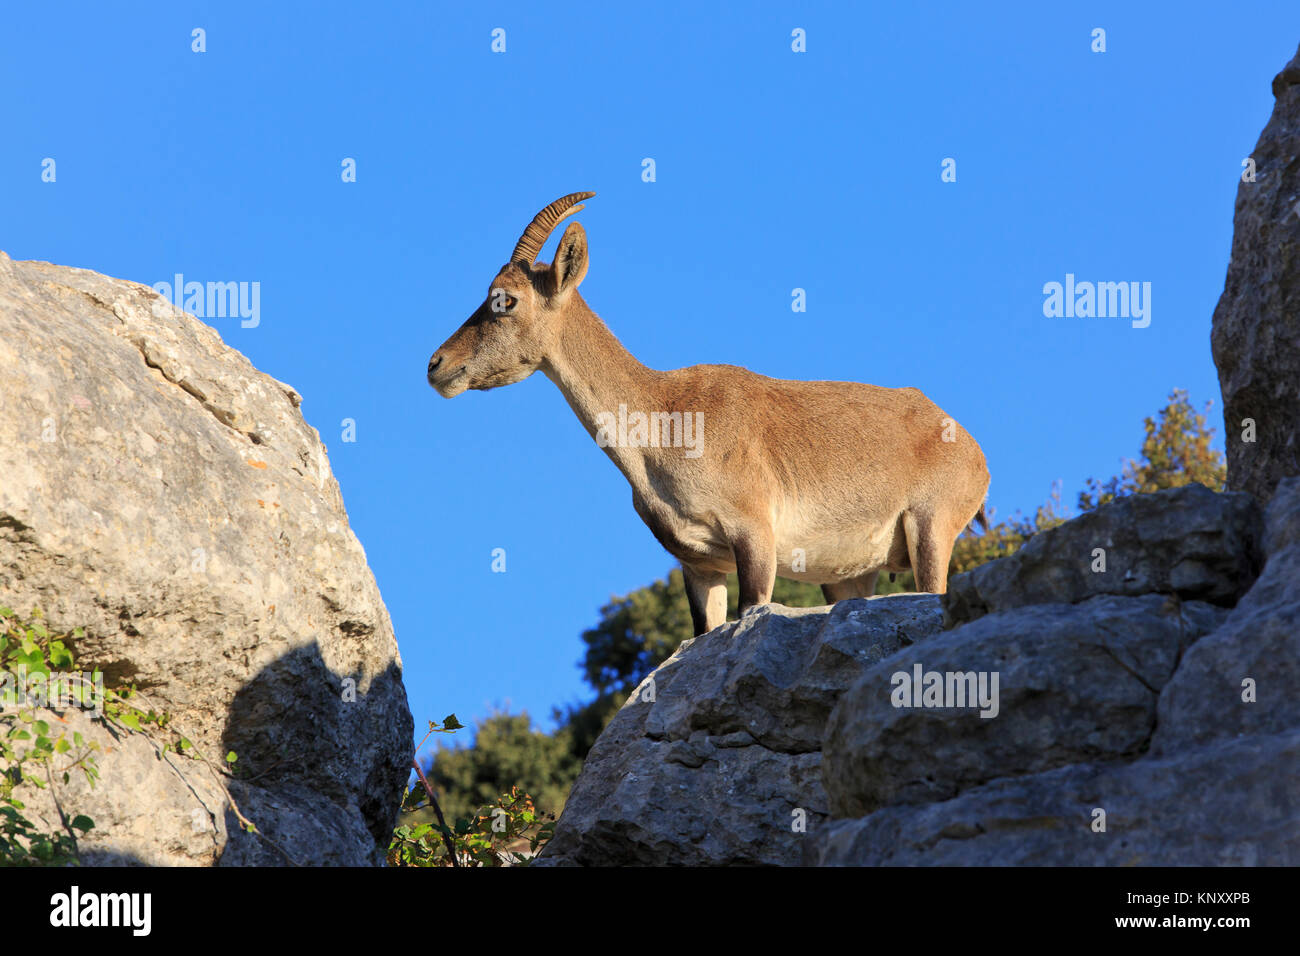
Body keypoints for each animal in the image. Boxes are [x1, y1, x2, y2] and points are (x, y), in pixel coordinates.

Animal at [428, 192, 990, 636]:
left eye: (505, 300)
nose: (437, 365)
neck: (663, 420)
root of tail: (973, 449)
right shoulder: (698, 563)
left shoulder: (755, 533)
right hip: (847, 574)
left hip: (932, 526)